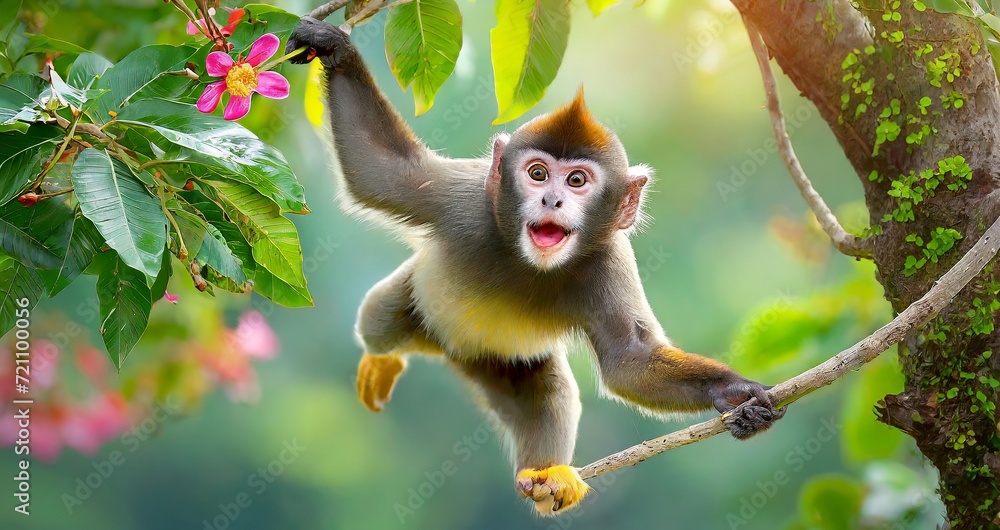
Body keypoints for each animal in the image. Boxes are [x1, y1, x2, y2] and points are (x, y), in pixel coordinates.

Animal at [286, 17, 786, 515]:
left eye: (577, 180)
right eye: (538, 174)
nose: (552, 200)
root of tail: (448, 351)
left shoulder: (610, 261)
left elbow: (630, 361)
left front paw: (733, 394)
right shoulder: (466, 197)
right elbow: (384, 173)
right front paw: (334, 49)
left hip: (499, 364)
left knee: (547, 392)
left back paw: (545, 480)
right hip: (416, 308)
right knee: (382, 319)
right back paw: (382, 360)